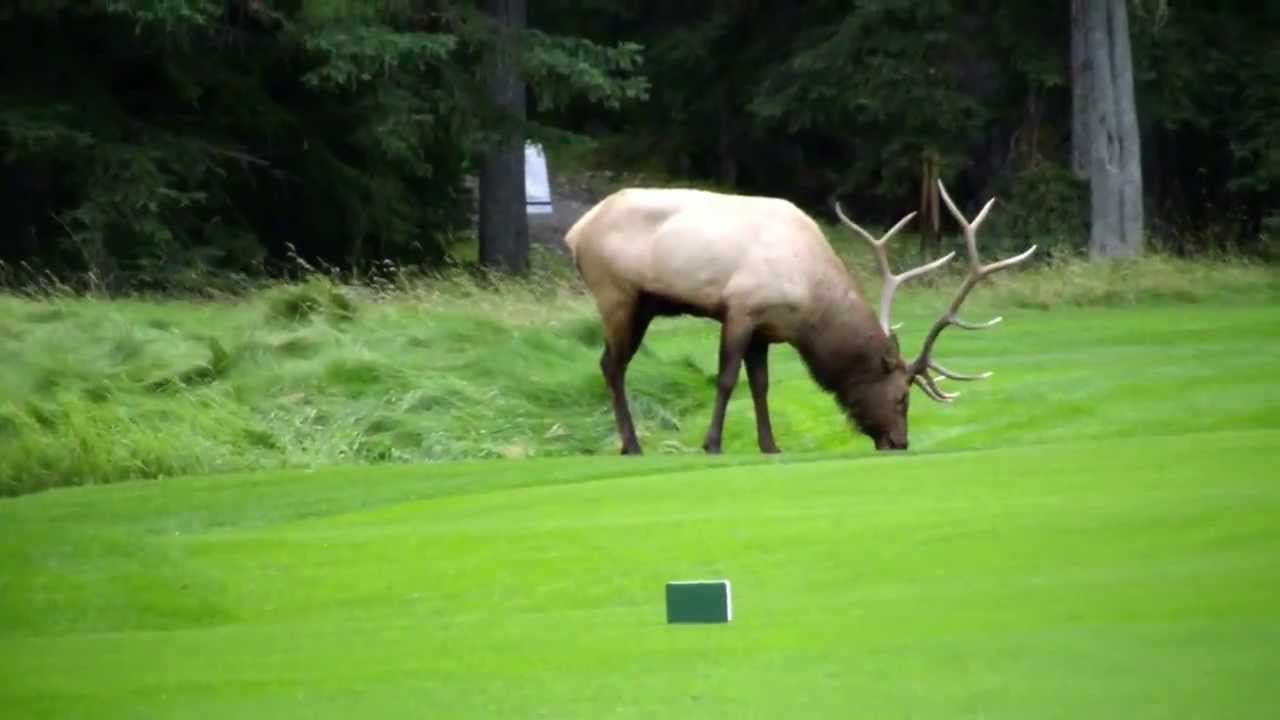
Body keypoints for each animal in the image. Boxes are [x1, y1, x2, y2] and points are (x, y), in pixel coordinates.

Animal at [564, 179, 1036, 455]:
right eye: (902, 397)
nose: (899, 442)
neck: (809, 308)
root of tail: (575, 232)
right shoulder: (741, 307)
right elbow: (727, 379)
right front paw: (712, 444)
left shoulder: (764, 330)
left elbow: (760, 385)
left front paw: (770, 445)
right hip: (618, 295)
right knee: (611, 365)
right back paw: (631, 446)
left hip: (639, 305)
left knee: (611, 363)